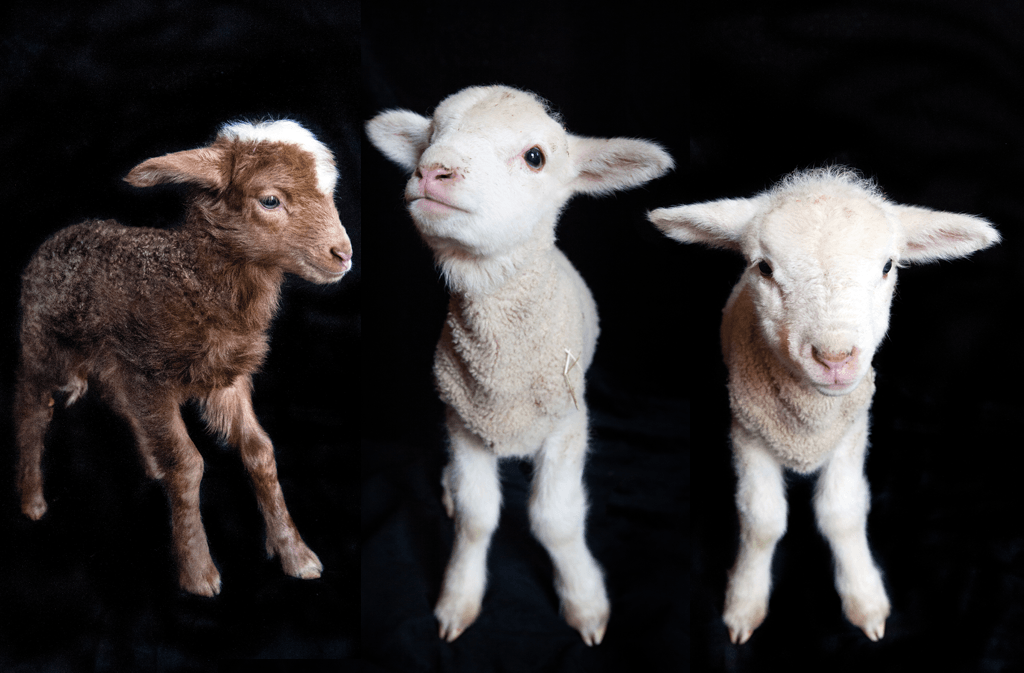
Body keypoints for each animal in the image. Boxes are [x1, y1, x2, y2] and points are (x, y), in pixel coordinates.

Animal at [15, 119, 353, 597]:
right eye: (270, 199)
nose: (344, 255)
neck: (192, 282)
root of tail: (58, 236)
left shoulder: (224, 381)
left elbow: (260, 451)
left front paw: (295, 552)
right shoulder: (152, 379)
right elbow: (189, 464)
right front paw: (197, 570)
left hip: (116, 362)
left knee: (120, 404)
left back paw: (151, 465)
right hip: (44, 344)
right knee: (32, 409)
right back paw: (31, 498)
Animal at [366, 85, 673, 645]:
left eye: (535, 157)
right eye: (432, 133)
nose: (432, 169)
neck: (503, 378)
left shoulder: (568, 423)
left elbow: (555, 520)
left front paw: (584, 601)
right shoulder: (464, 420)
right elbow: (475, 517)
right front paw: (459, 597)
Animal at [649, 166, 1000, 644]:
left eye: (888, 266)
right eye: (764, 267)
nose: (834, 358)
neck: (809, 423)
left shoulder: (851, 434)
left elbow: (842, 514)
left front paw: (864, 598)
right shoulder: (747, 432)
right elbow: (762, 521)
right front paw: (745, 602)